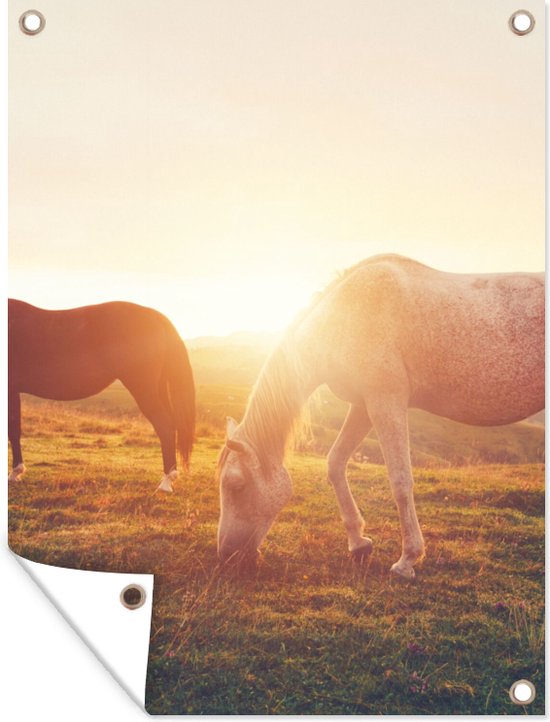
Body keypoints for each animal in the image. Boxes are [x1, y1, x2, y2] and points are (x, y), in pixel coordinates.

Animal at [8, 300, 195, 492]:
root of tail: (155, 315)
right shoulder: (13, 390)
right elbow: (15, 430)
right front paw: (16, 472)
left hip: (143, 389)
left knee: (165, 426)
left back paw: (166, 482)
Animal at [217, 254, 544, 579]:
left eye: (236, 486)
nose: (226, 555)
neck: (342, 320)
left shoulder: (386, 401)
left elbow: (400, 479)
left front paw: (408, 559)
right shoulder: (363, 405)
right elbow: (335, 463)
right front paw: (359, 543)